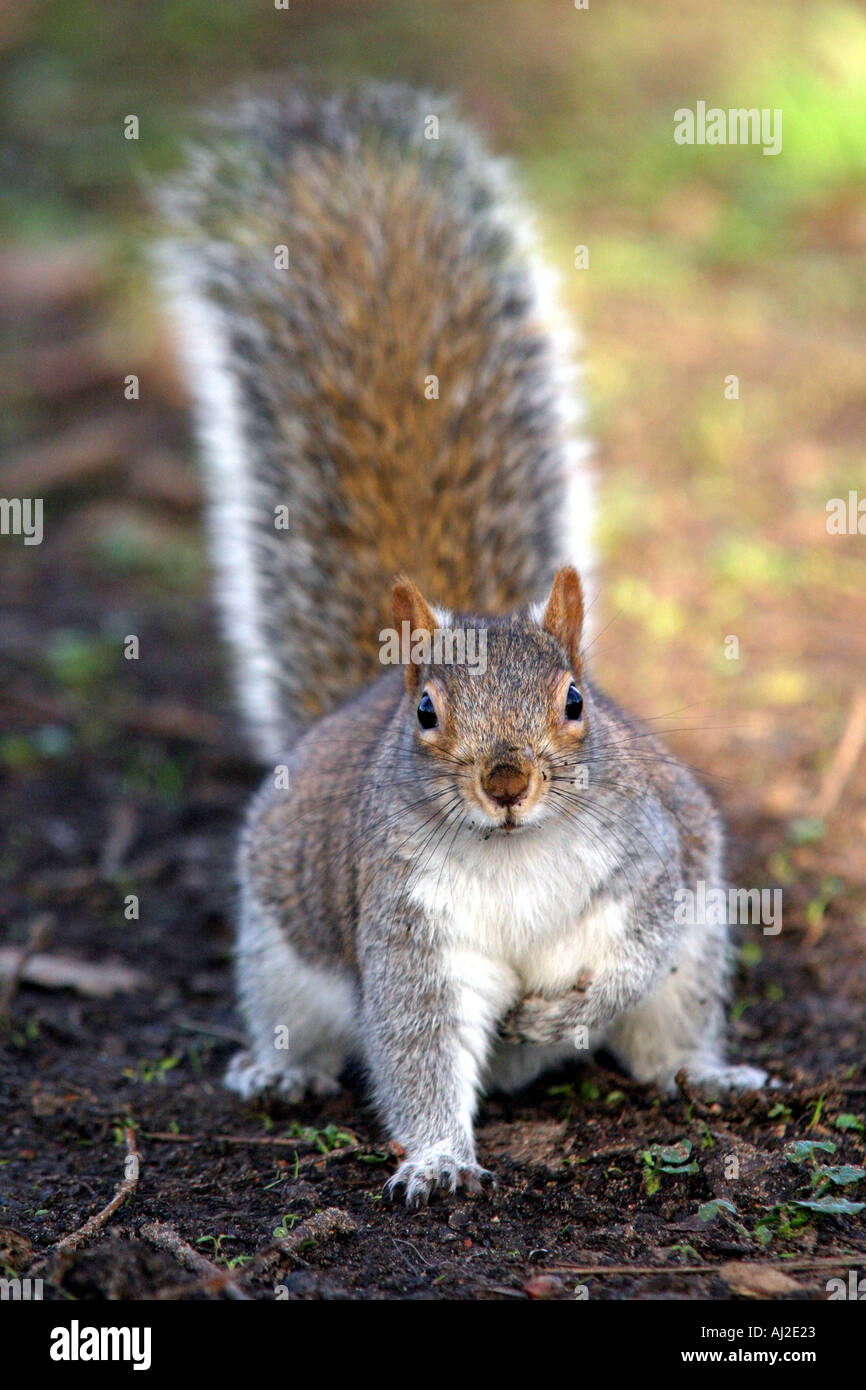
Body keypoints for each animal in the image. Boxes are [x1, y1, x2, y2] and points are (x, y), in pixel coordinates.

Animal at [157, 83, 767, 1207]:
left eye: (575, 701)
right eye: (428, 713)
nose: (505, 781)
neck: (513, 851)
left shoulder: (650, 865)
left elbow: (633, 946)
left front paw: (565, 1009)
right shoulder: (408, 934)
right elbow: (415, 1047)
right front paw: (438, 1157)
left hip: (698, 961)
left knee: (664, 1028)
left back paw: (701, 1071)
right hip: (277, 950)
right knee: (301, 1023)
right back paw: (279, 1071)